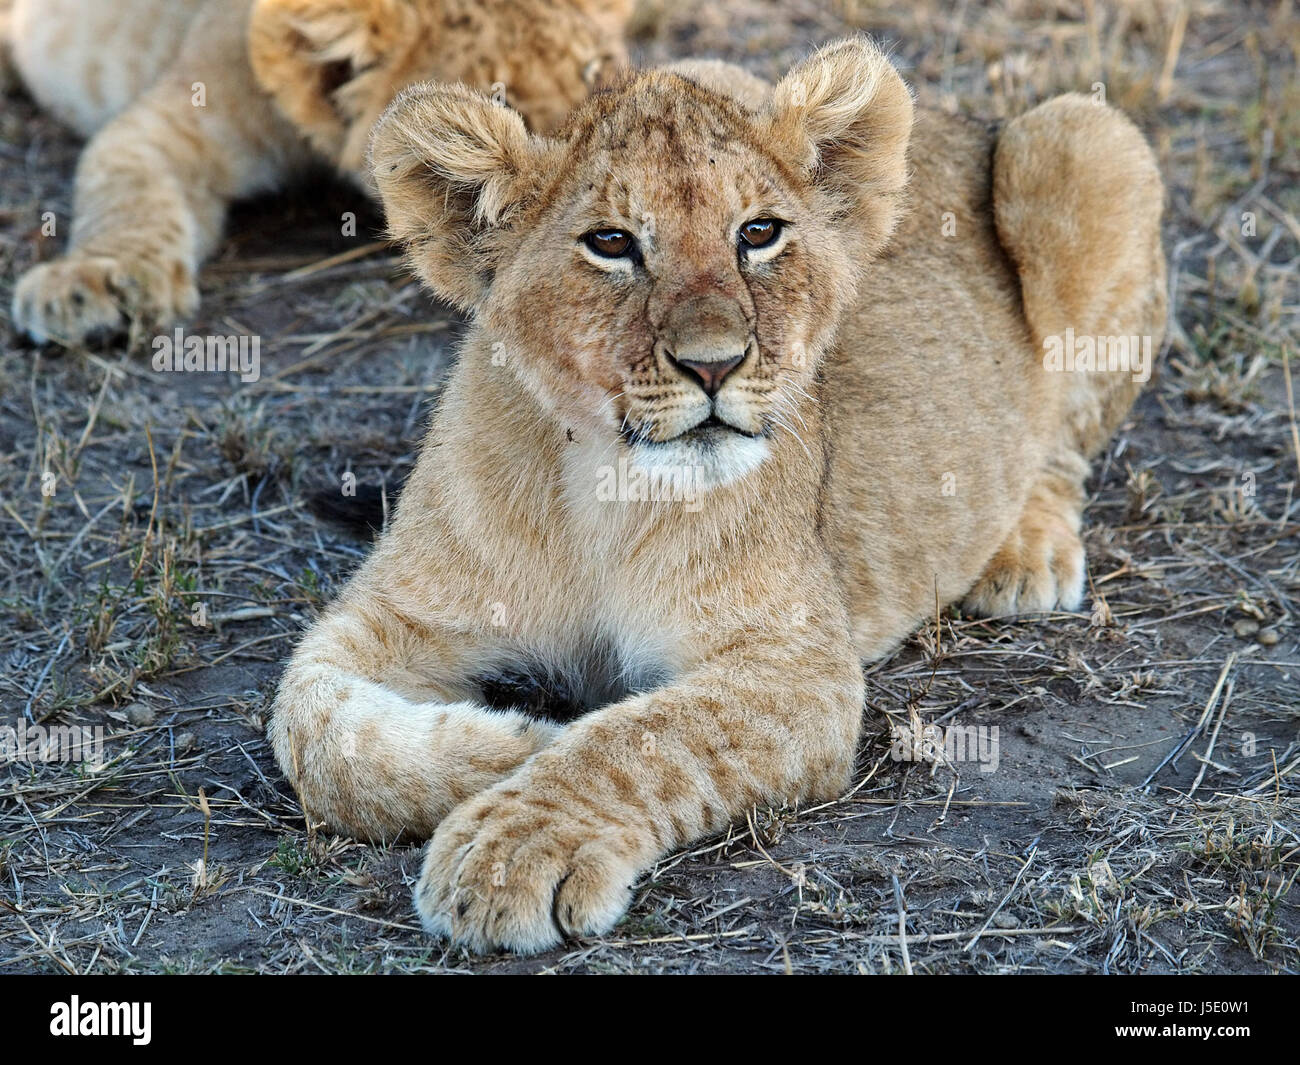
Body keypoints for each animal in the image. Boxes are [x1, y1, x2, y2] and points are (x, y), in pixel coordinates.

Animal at [269, 38, 1166, 953]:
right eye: (611, 243)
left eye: (758, 234)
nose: (715, 365)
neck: (600, 486)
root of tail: (954, 115)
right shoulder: (393, 610)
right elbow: (311, 727)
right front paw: (512, 742)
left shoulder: (801, 667)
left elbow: (643, 737)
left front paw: (509, 845)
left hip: (1086, 141)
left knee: (1065, 437)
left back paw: (1028, 554)